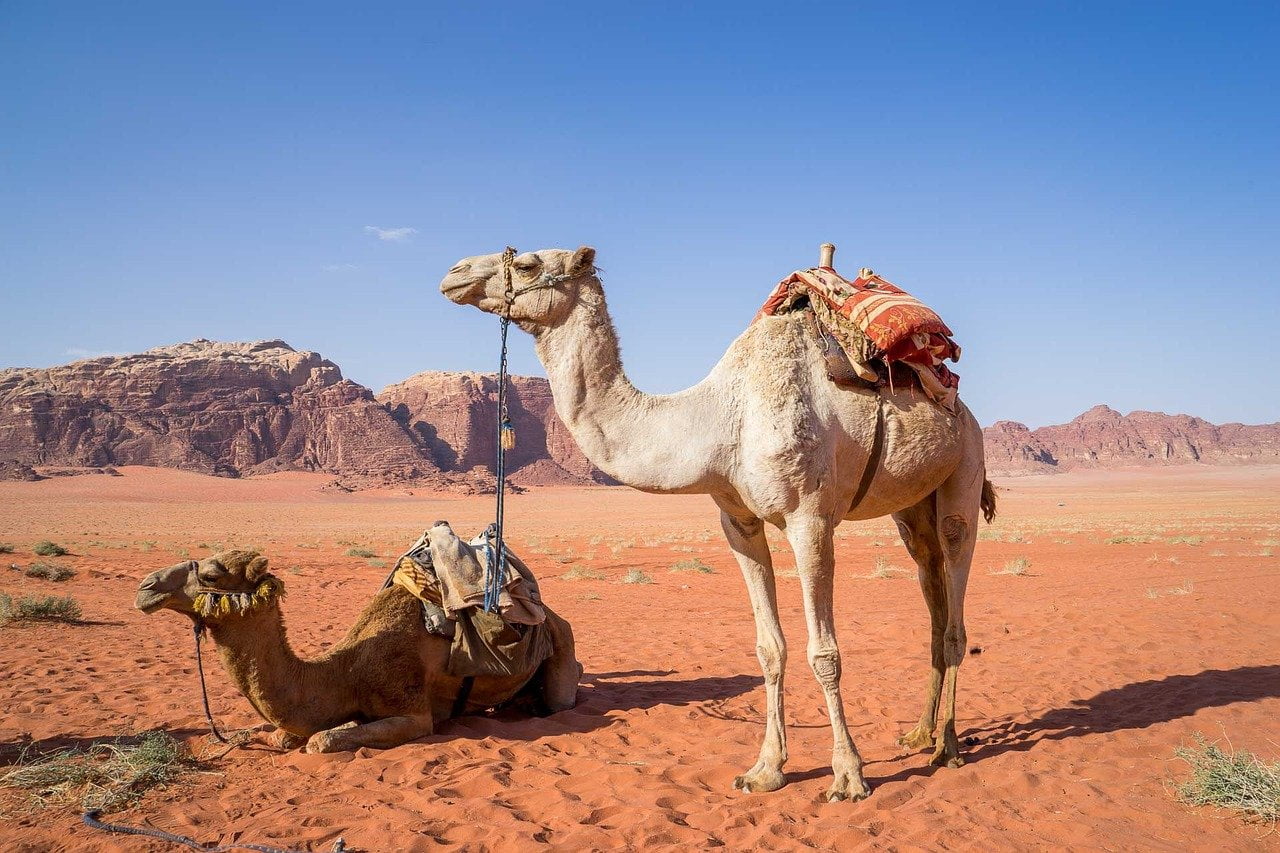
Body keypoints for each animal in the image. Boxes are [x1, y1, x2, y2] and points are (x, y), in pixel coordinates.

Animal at [135, 549, 581, 752]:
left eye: (211, 574)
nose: (146, 587)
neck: (345, 672)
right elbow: (285, 735)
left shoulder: (414, 712)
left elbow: (320, 741)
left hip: (561, 641)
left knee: (562, 695)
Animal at [440, 246, 995, 802]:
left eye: (528, 264)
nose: (454, 273)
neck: (720, 421)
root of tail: (960, 405)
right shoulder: (738, 521)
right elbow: (769, 649)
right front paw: (766, 769)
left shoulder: (810, 518)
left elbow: (824, 653)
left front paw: (848, 775)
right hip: (911, 507)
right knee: (930, 590)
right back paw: (919, 733)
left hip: (964, 468)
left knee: (954, 602)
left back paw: (947, 746)